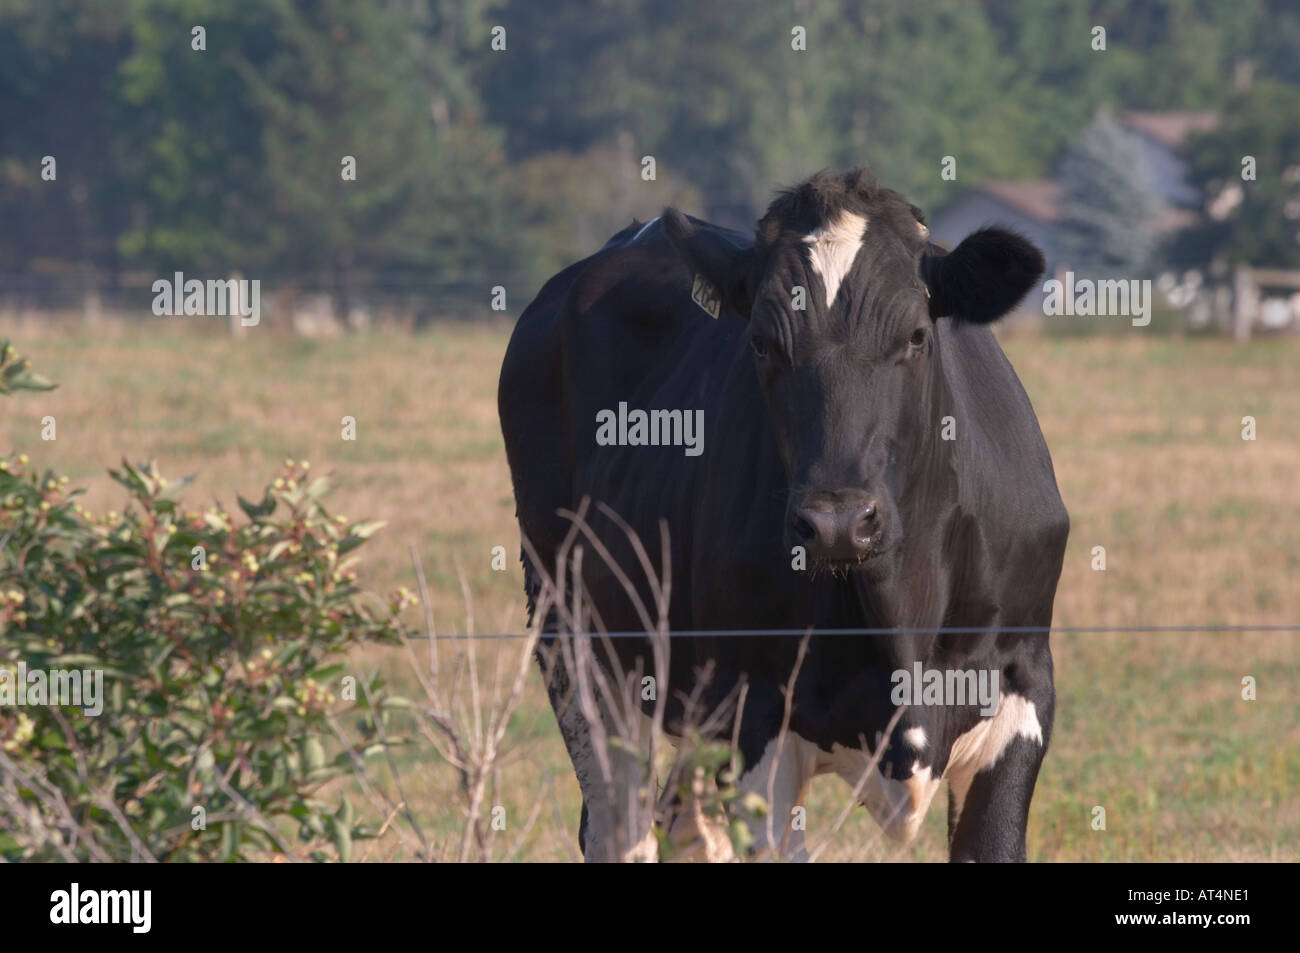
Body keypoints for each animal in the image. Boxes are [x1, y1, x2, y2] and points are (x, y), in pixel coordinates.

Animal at [498, 167, 1068, 862]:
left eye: (916, 336)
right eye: (763, 344)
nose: (837, 523)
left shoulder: (1021, 692)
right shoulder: (754, 717)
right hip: (576, 643)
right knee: (620, 826)